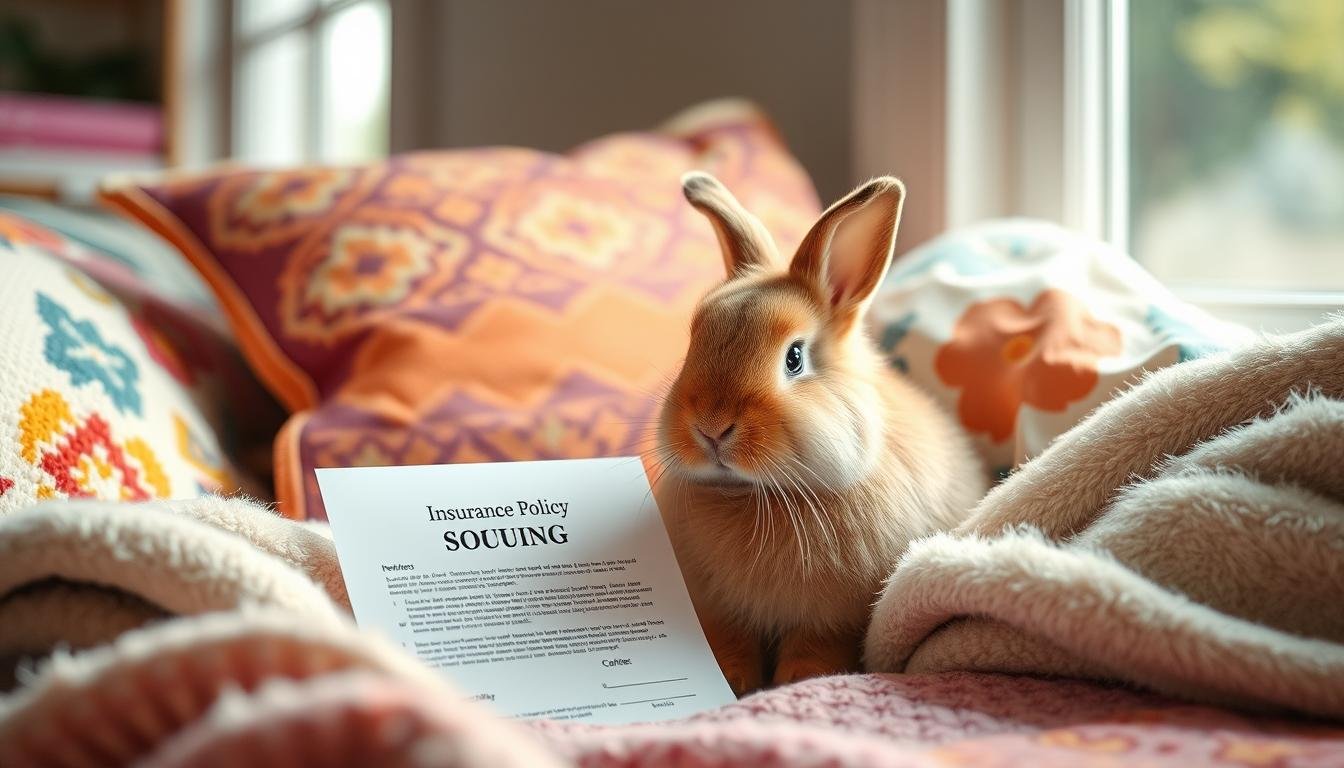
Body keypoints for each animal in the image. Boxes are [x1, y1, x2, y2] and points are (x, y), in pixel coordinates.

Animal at [654, 172, 987, 695]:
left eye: (794, 358)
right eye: (694, 344)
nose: (710, 426)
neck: (757, 495)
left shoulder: (832, 620)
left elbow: (813, 647)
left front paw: (799, 680)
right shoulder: (719, 614)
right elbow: (729, 643)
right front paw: (733, 679)